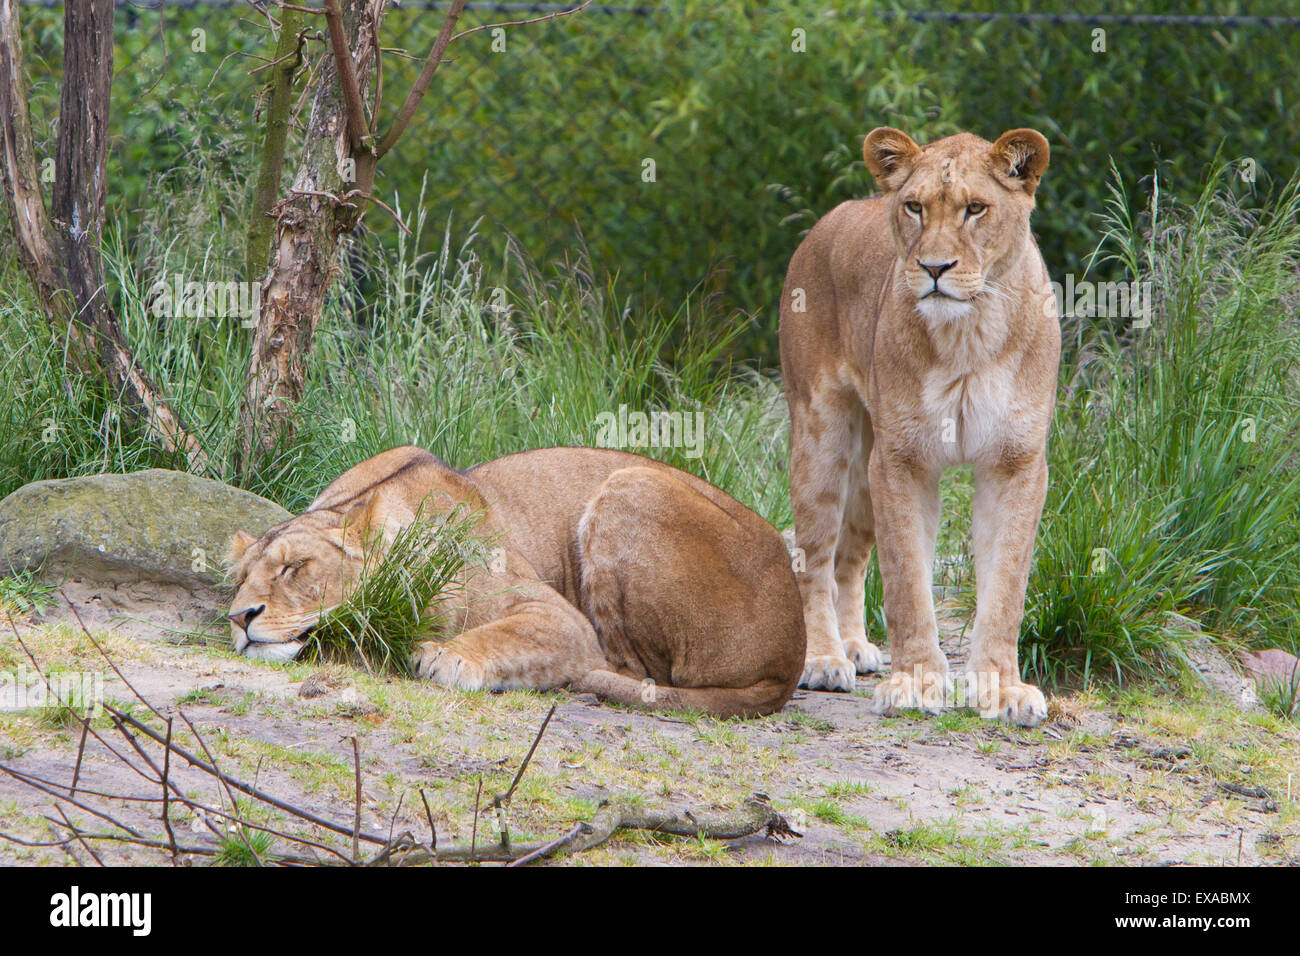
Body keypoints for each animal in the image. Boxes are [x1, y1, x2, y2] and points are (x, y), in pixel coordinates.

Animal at [225, 446, 806, 718]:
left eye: (293, 567)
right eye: (240, 581)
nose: (239, 617)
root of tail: (792, 655)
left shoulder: (560, 618)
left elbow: (505, 635)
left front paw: (447, 656)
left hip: (630, 484)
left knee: (630, 670)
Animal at [778, 127, 1059, 726]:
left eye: (975, 209)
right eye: (914, 207)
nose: (934, 269)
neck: (969, 331)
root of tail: (830, 218)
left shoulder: (1016, 463)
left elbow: (1006, 586)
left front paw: (1001, 688)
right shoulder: (901, 461)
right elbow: (907, 581)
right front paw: (916, 682)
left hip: (865, 462)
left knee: (850, 558)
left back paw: (855, 646)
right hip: (822, 433)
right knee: (814, 556)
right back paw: (824, 658)